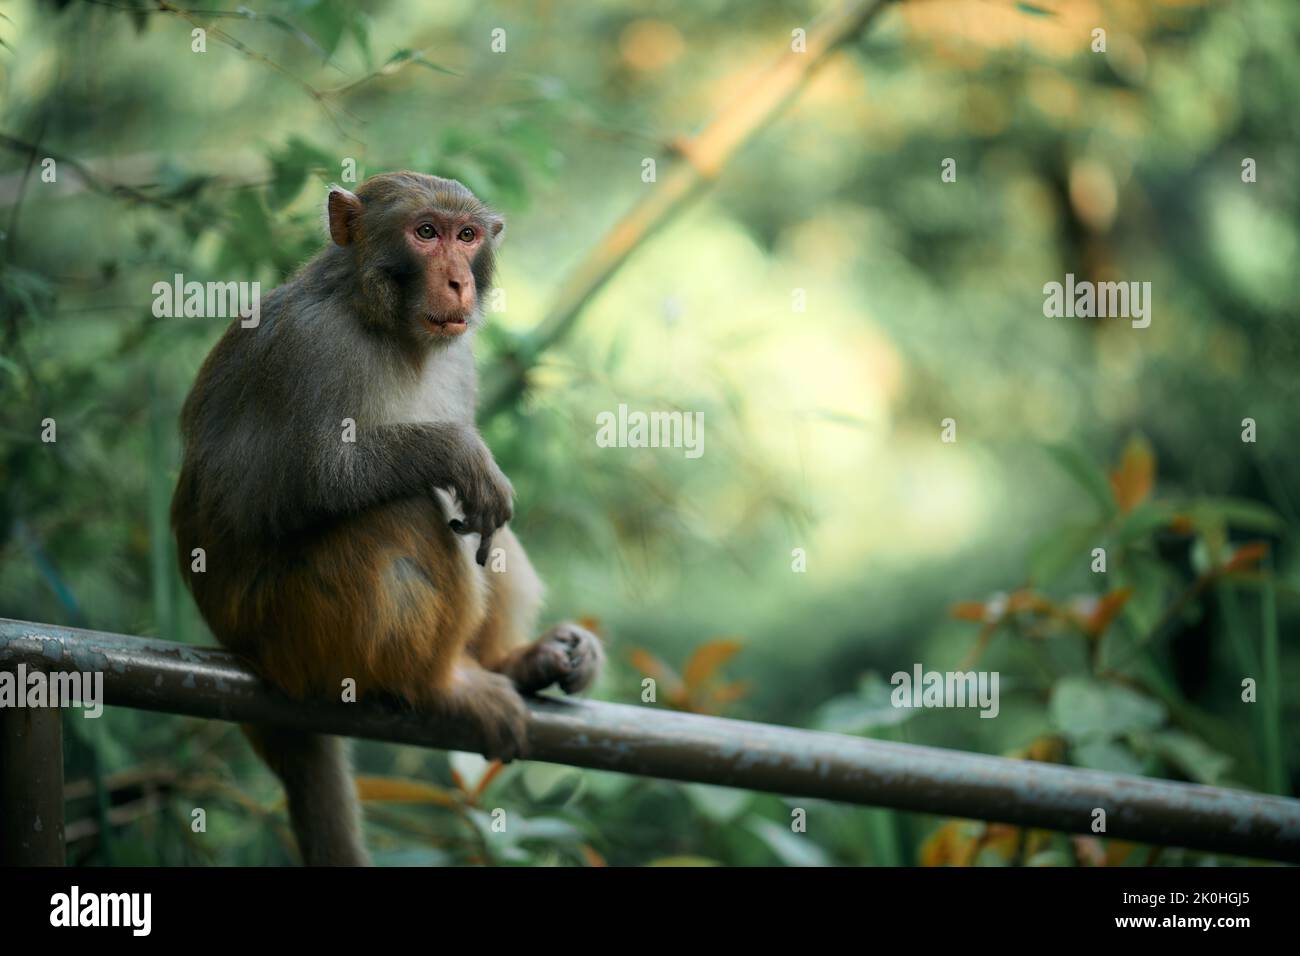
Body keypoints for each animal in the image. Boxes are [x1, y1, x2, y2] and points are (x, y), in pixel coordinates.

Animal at [170, 171, 604, 866]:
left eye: (466, 235)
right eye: (425, 233)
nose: (457, 282)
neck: (385, 325)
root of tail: (239, 647)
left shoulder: (460, 358)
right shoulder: (313, 349)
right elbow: (304, 483)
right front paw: (455, 450)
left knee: (478, 525)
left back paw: (516, 661)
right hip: (299, 635)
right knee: (402, 510)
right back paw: (439, 685)